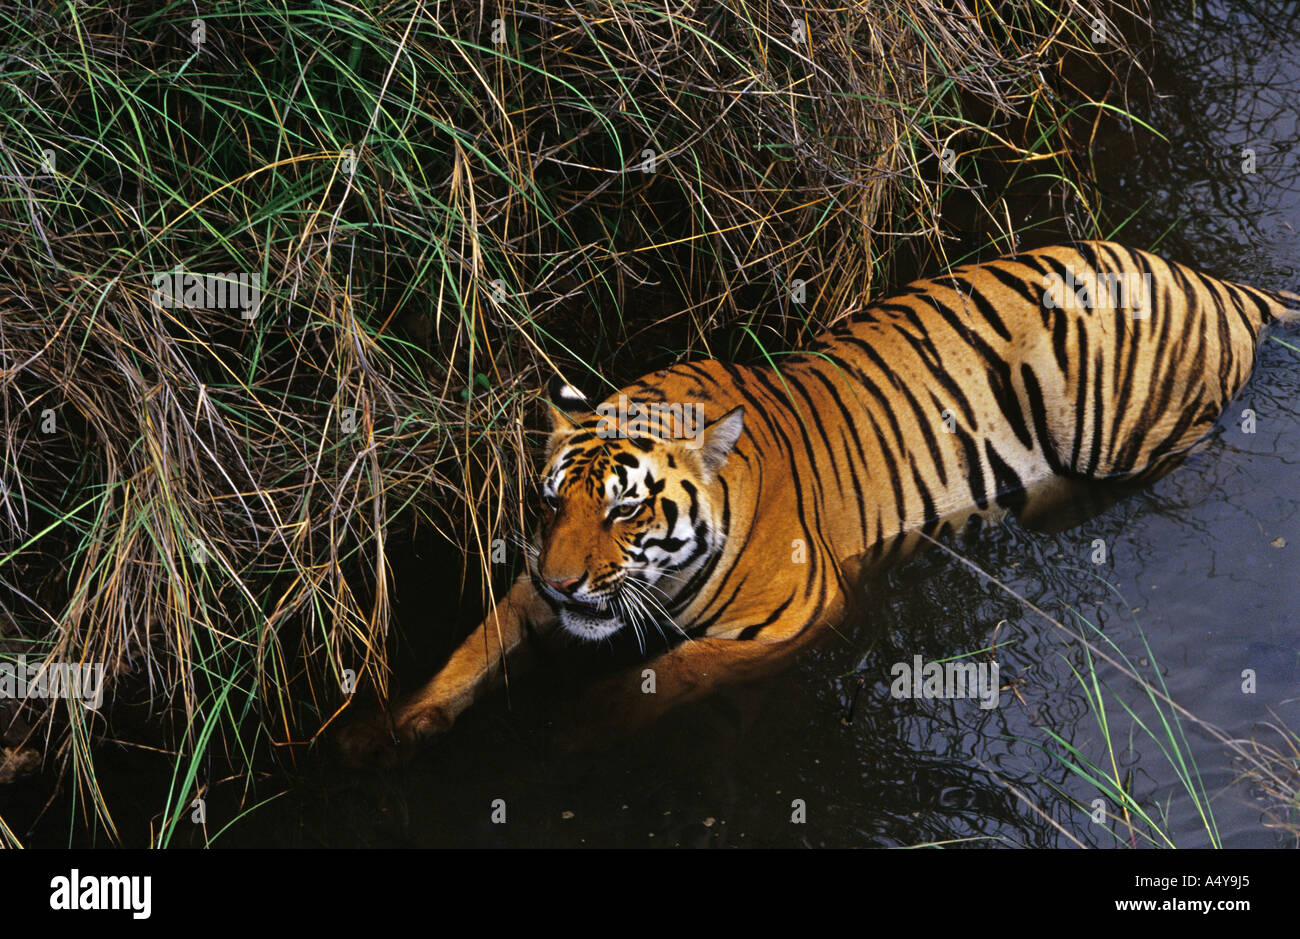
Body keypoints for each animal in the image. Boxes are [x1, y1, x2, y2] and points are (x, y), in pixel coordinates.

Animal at [338, 240, 1300, 764]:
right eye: (548, 508)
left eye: (624, 510)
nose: (567, 585)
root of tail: (1210, 281)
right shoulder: (544, 589)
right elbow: (475, 644)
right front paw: (391, 725)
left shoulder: (792, 614)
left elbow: (671, 672)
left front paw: (578, 724)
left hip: (1113, 427)